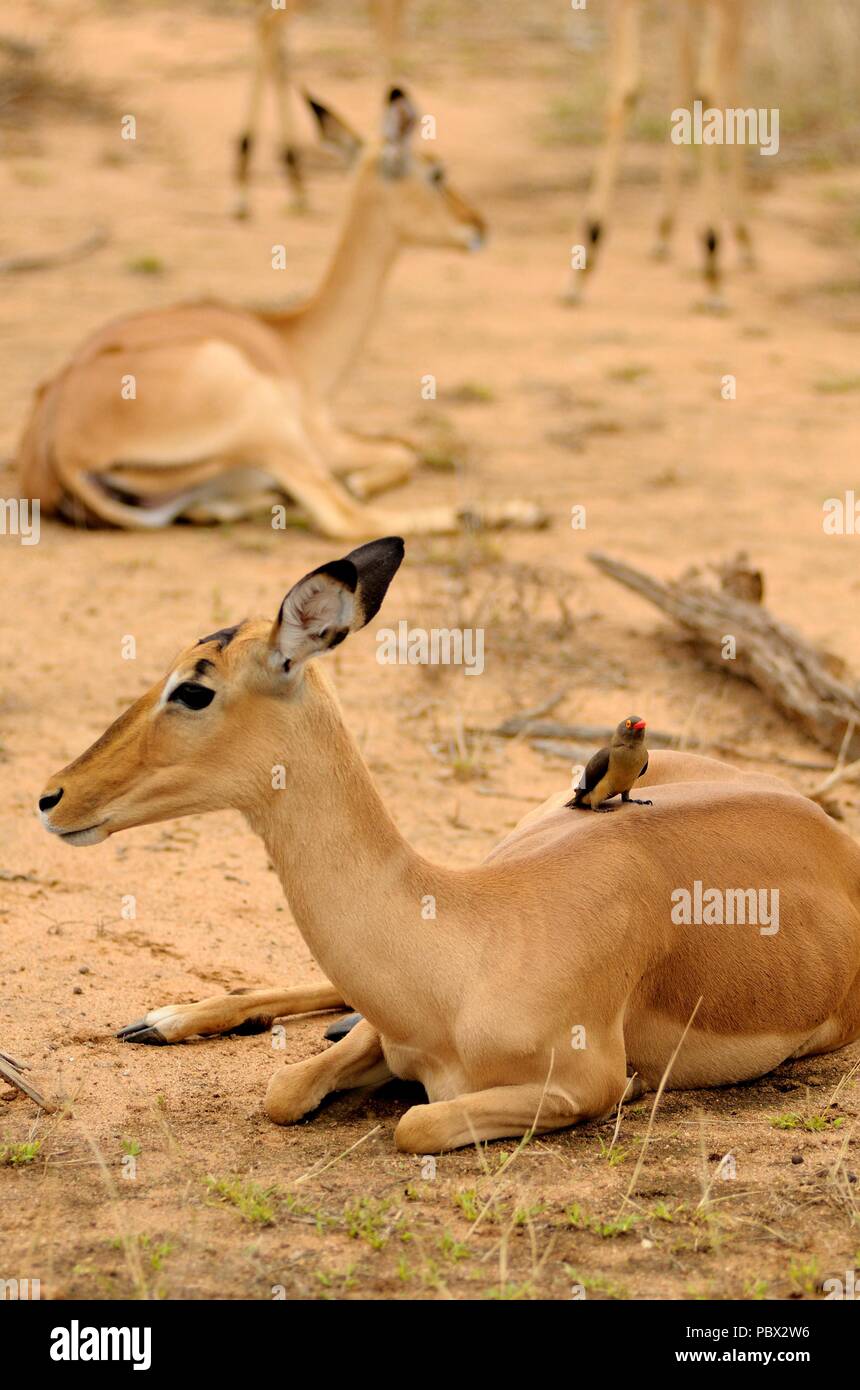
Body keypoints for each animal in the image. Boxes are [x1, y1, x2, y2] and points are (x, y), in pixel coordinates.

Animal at [17, 90, 542, 538]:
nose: (476, 226)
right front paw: (363, 482)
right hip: (274, 432)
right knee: (349, 521)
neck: (292, 342)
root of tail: (58, 448)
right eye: (436, 174)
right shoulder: (324, 439)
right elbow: (402, 452)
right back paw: (523, 510)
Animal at [37, 538, 860, 1153]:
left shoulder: (582, 1085)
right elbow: (286, 1087)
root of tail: (832, 833)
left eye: (194, 689)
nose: (52, 797)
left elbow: (412, 1123)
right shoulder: (389, 1033)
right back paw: (162, 1019)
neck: (470, 949)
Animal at [235, 0, 407, 217]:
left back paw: (295, 188)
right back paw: (244, 195)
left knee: (275, 42)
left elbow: (389, 55)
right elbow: (388, 57)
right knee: (267, 25)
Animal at [565, 0, 754, 309]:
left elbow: (682, 78)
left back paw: (585, 257)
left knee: (626, 89)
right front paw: (741, 237)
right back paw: (713, 267)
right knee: (709, 91)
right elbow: (723, 88)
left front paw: (664, 229)